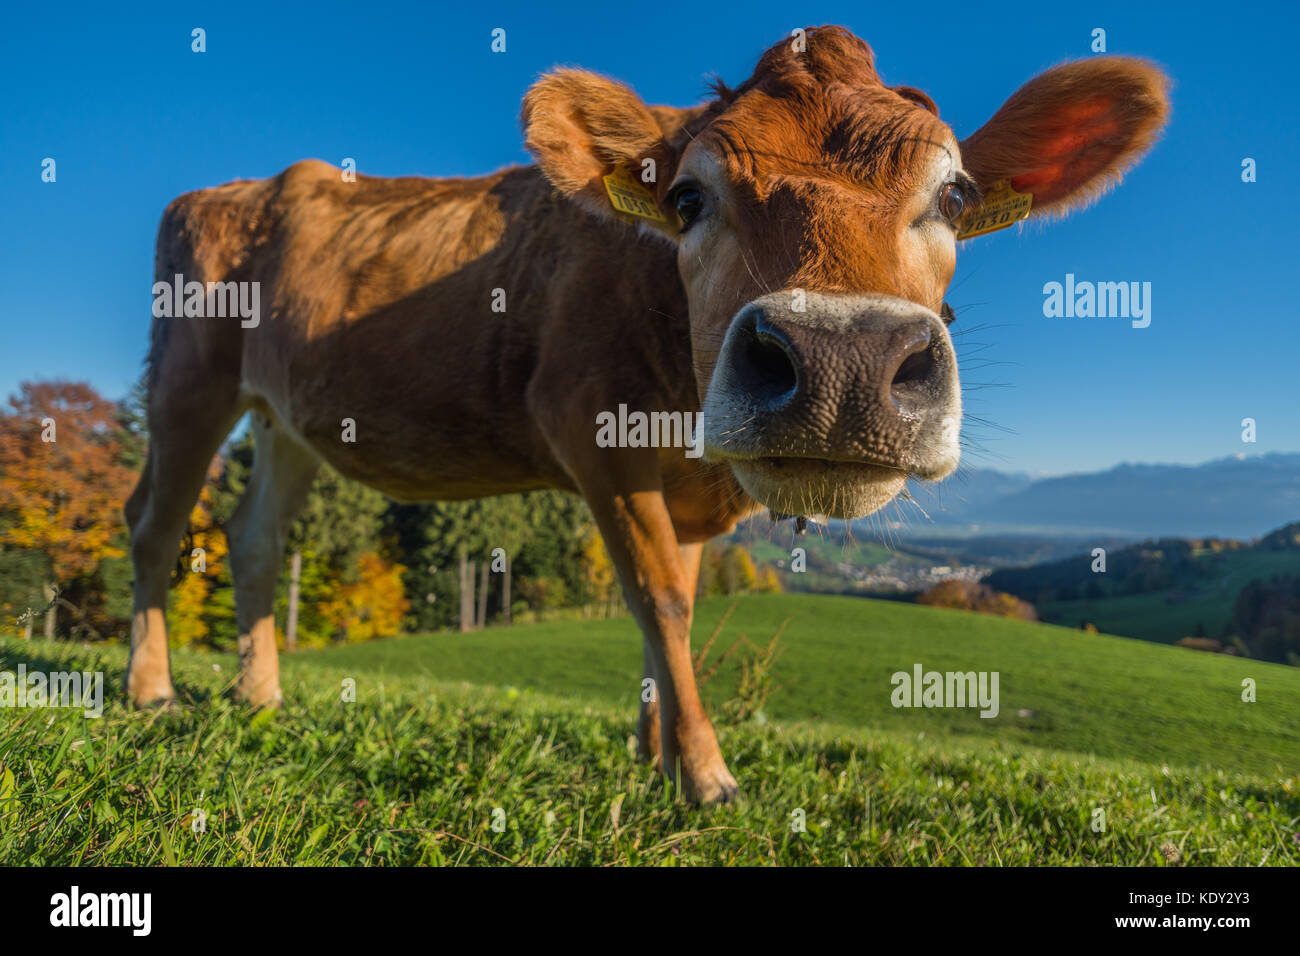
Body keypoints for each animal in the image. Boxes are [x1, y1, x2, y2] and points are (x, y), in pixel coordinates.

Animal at [124, 26, 1169, 802]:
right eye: (689, 196)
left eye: (954, 194)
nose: (844, 362)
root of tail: (243, 184)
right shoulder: (592, 430)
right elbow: (657, 593)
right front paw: (705, 775)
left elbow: (682, 600)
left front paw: (652, 748)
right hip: (189, 376)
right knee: (155, 523)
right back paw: (151, 691)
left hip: (287, 418)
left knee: (254, 538)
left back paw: (260, 696)